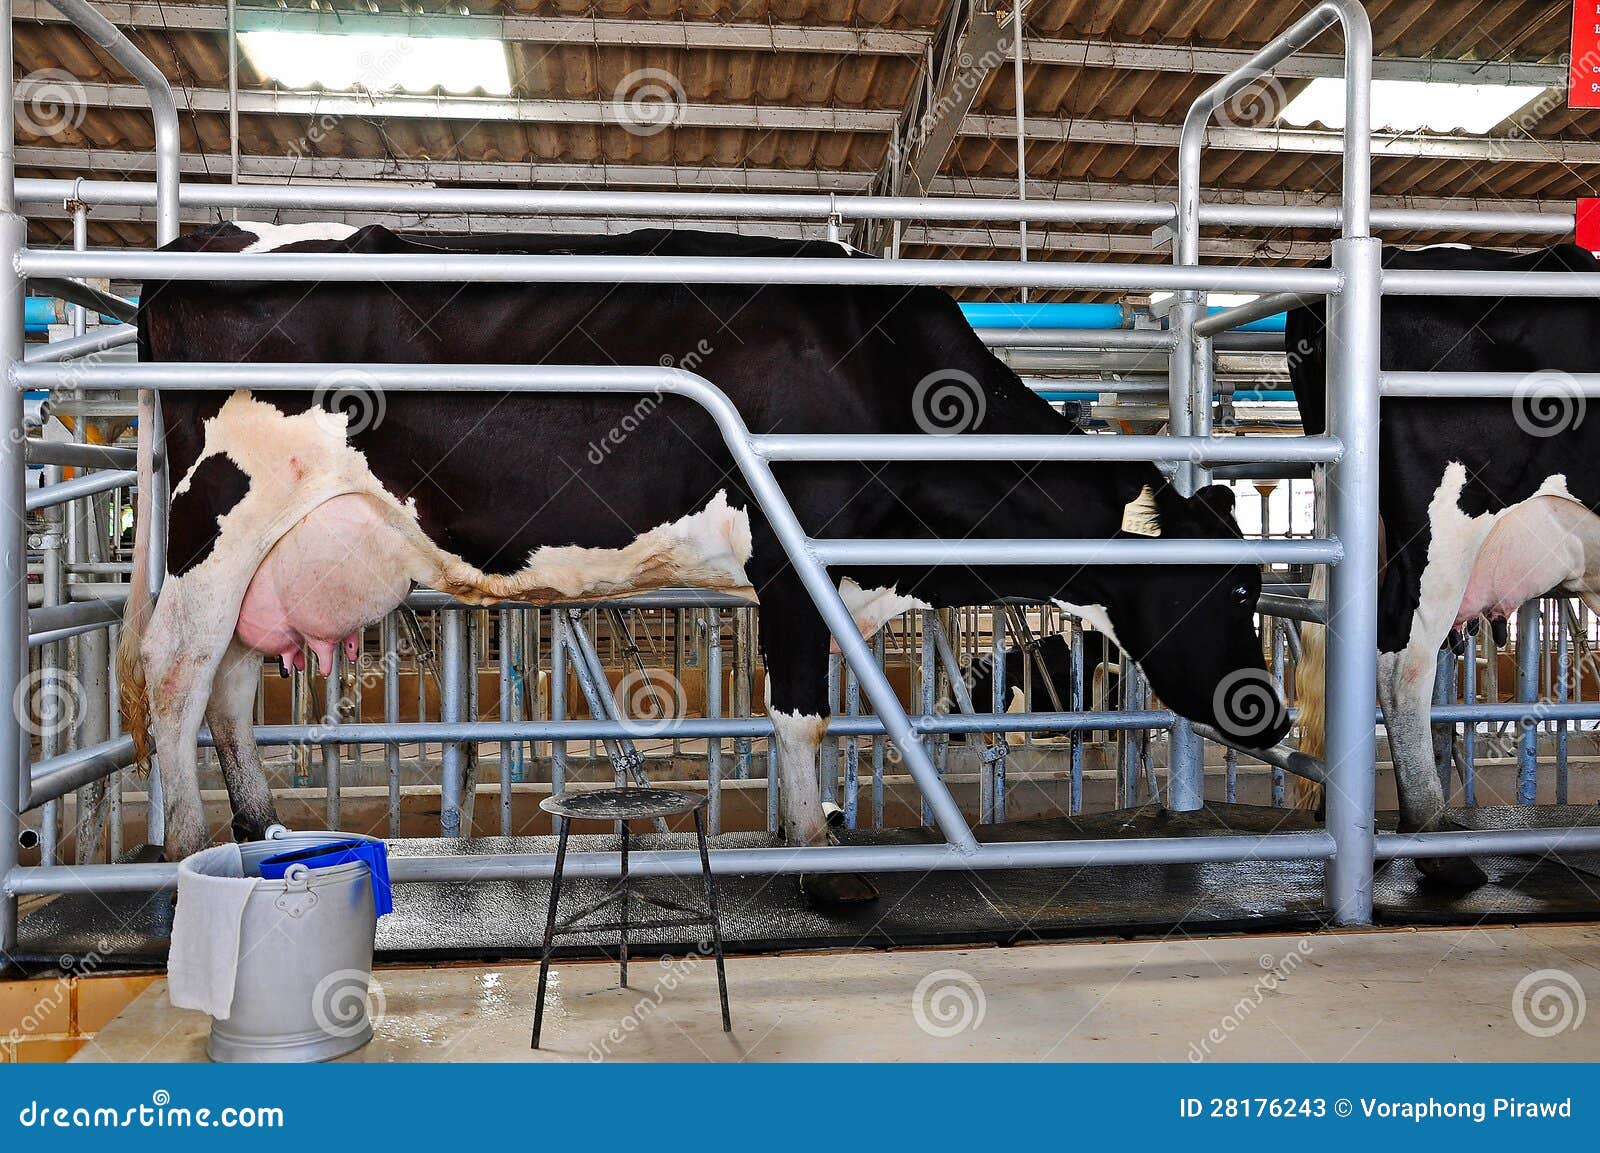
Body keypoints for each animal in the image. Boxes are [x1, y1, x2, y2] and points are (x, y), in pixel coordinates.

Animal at [121, 221, 1290, 904]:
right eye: (1229, 582)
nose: (1272, 717)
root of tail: (207, 237)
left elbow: (805, 712)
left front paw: (805, 825)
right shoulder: (798, 551)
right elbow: (804, 712)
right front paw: (820, 861)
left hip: (272, 552)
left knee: (230, 679)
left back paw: (262, 825)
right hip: (218, 514)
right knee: (175, 666)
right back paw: (180, 841)